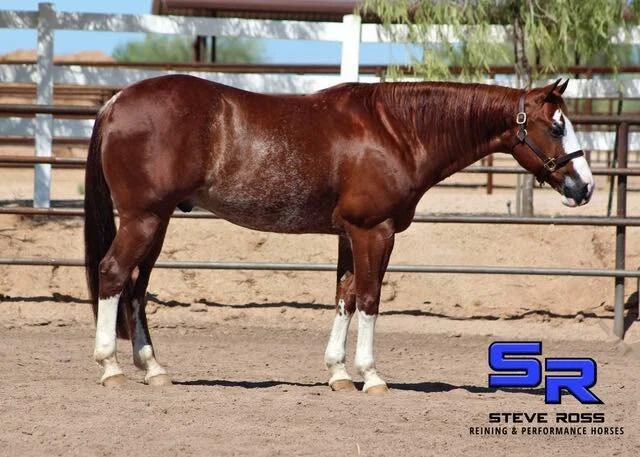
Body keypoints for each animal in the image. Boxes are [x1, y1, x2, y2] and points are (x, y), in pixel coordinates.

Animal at [84, 76, 593, 391]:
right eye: (556, 127)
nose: (585, 187)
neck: (395, 132)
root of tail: (114, 103)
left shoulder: (349, 234)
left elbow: (344, 295)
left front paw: (339, 374)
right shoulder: (374, 232)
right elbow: (369, 297)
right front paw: (372, 376)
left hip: (158, 220)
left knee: (137, 287)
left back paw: (153, 368)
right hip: (143, 218)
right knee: (113, 274)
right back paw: (110, 367)